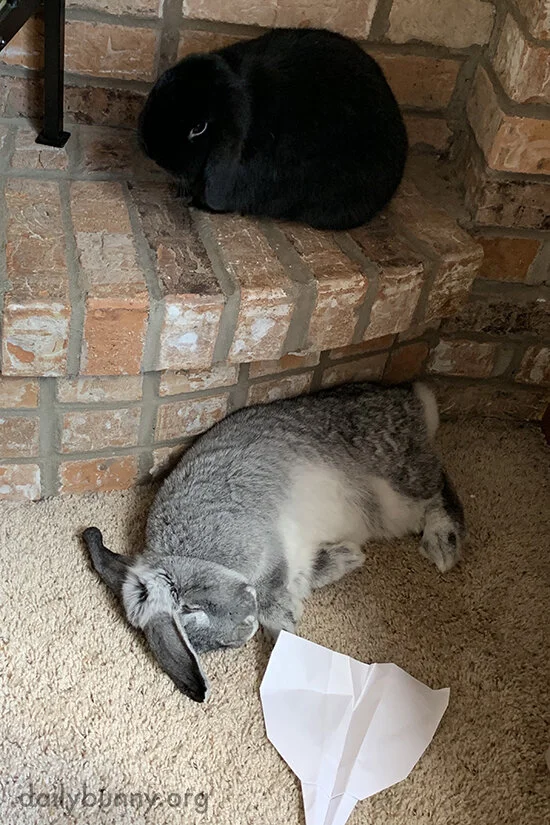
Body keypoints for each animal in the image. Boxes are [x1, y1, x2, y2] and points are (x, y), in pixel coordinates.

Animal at [82, 381, 465, 704]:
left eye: (190, 608)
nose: (244, 629)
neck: (198, 558)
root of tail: (411, 397)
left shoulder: (269, 554)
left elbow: (273, 601)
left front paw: (283, 633)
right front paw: (348, 558)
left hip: (397, 484)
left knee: (440, 492)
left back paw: (443, 546)